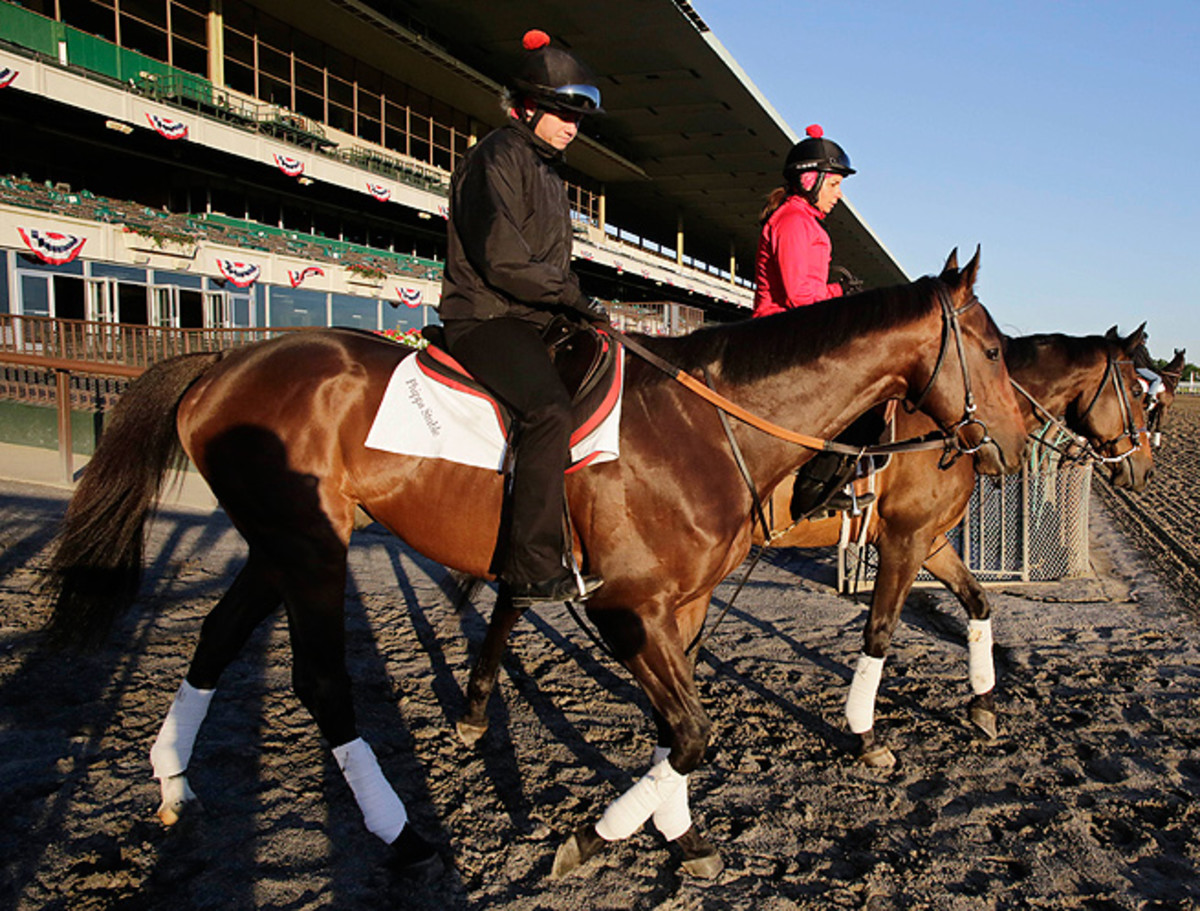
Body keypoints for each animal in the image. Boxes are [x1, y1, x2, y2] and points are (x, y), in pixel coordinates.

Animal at [43, 248, 1028, 880]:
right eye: (988, 347)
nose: (1015, 445)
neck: (708, 422)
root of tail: (221, 362)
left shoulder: (686, 604)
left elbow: (679, 728)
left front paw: (676, 833)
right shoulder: (634, 606)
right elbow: (695, 728)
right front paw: (600, 835)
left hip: (279, 547)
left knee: (215, 637)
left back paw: (172, 780)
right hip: (311, 549)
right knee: (320, 680)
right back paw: (400, 831)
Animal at [757, 324, 1154, 766]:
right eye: (1137, 392)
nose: (1145, 469)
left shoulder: (931, 541)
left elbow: (977, 601)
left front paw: (983, 705)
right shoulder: (904, 541)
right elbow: (879, 631)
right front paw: (865, 735)